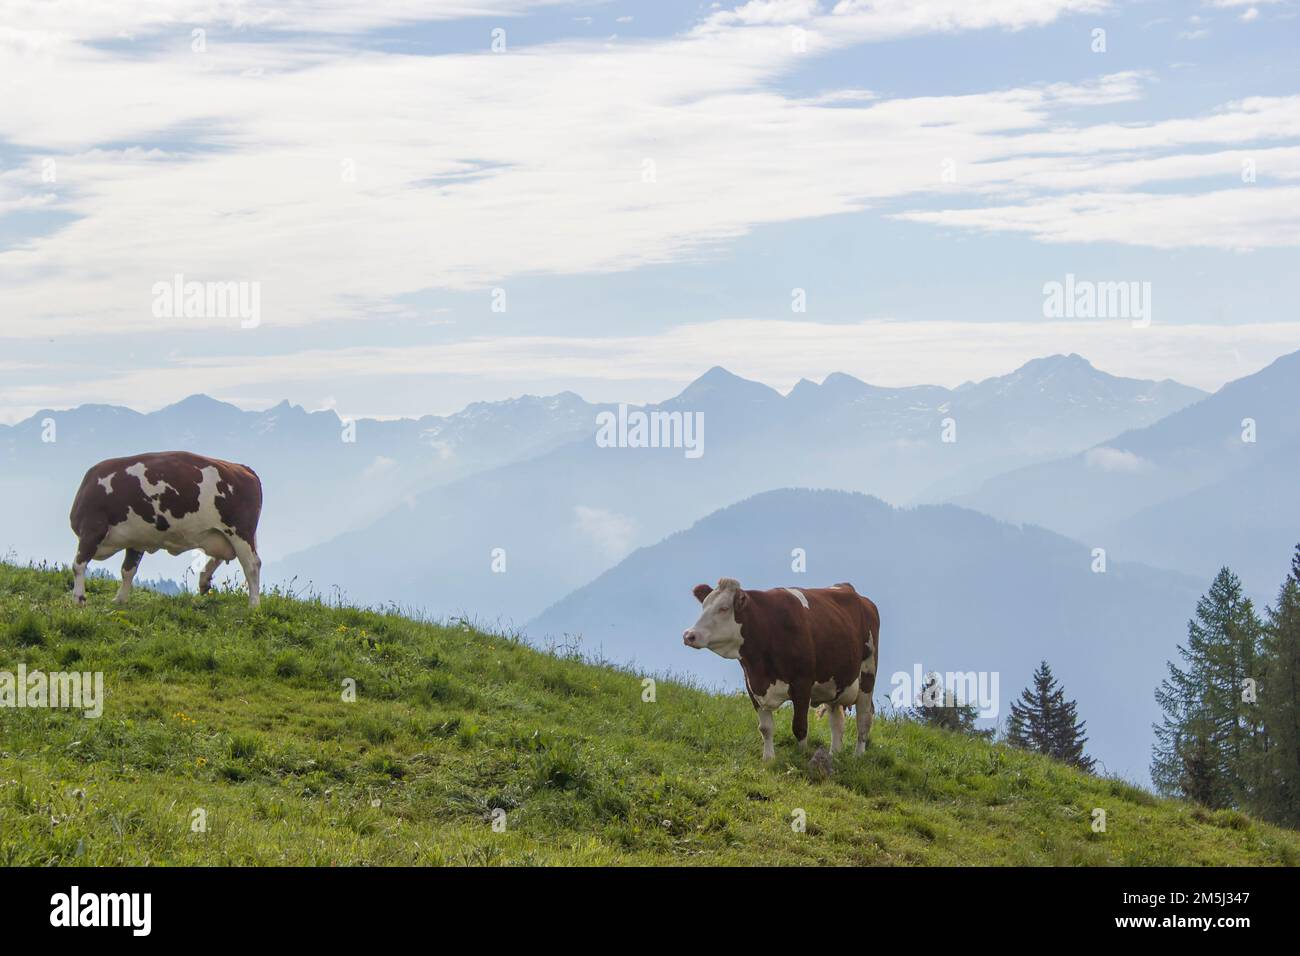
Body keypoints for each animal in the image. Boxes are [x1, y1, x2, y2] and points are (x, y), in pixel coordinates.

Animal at [69, 451, 263, 608]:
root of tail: (242, 468)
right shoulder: (136, 540)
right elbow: (128, 570)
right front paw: (120, 599)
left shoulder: (92, 528)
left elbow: (78, 564)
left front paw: (79, 598)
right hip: (223, 533)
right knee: (224, 555)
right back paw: (204, 580)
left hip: (239, 531)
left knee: (252, 564)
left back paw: (253, 604)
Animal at [683, 578, 879, 761]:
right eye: (704, 605)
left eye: (723, 608)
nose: (689, 635)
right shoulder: (752, 685)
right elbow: (765, 728)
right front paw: (768, 759)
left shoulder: (802, 683)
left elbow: (799, 726)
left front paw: (801, 756)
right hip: (836, 683)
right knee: (837, 721)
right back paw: (833, 755)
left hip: (868, 674)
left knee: (864, 719)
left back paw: (858, 756)